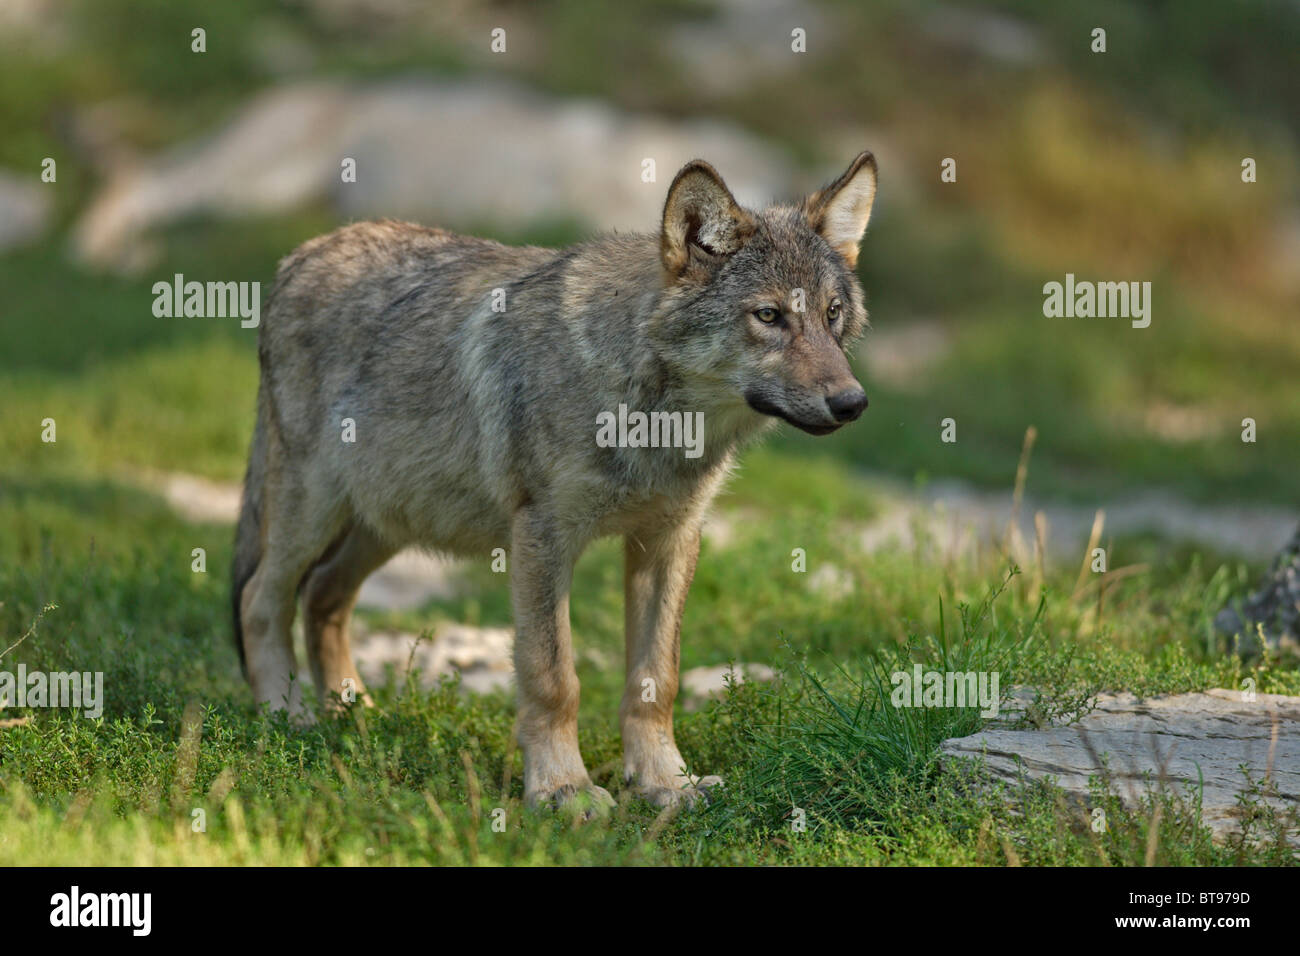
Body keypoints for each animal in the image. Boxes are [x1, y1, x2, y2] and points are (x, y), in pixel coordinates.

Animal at [232, 152, 877, 812]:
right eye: (769, 316)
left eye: (831, 314)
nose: (853, 403)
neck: (653, 418)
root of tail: (298, 255)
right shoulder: (543, 538)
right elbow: (554, 678)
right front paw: (564, 789)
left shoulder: (669, 541)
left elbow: (656, 679)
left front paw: (666, 783)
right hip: (314, 514)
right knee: (260, 599)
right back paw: (288, 719)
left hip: (384, 525)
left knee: (322, 597)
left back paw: (354, 715)